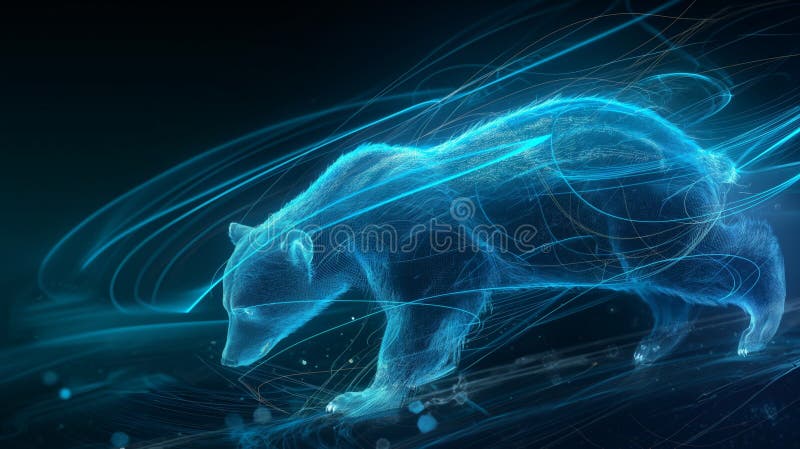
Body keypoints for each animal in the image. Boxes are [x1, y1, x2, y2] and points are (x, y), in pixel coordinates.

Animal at [219, 97, 786, 417]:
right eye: (228, 306)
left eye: (248, 309)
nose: (229, 358)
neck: (347, 209)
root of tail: (701, 152)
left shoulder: (413, 229)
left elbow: (427, 308)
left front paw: (357, 397)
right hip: (615, 229)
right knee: (652, 277)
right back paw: (653, 343)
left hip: (637, 200)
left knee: (695, 262)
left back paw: (758, 327)